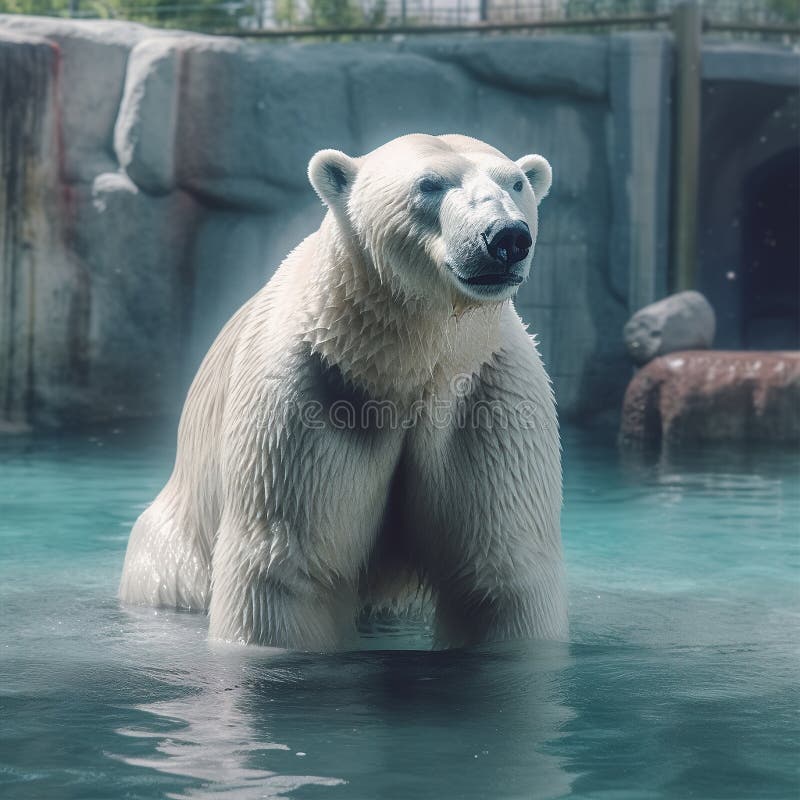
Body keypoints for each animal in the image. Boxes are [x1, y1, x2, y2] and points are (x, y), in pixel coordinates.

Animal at [119, 133, 567, 650]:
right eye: (429, 183)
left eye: (515, 183)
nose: (506, 237)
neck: (401, 365)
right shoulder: (311, 395)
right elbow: (289, 565)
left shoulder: (486, 397)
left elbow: (503, 563)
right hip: (170, 558)